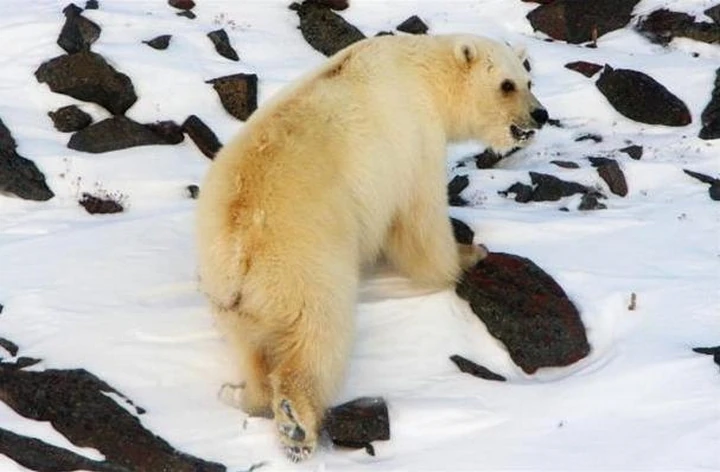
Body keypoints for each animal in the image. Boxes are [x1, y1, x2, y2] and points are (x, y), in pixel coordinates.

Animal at [196, 33, 547, 461]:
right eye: (506, 85)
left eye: (528, 81)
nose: (540, 115)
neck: (423, 72)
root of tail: (237, 246)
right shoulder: (416, 140)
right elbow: (420, 221)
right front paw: (468, 254)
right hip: (301, 264)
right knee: (319, 333)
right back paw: (297, 424)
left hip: (233, 297)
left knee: (250, 347)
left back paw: (249, 396)